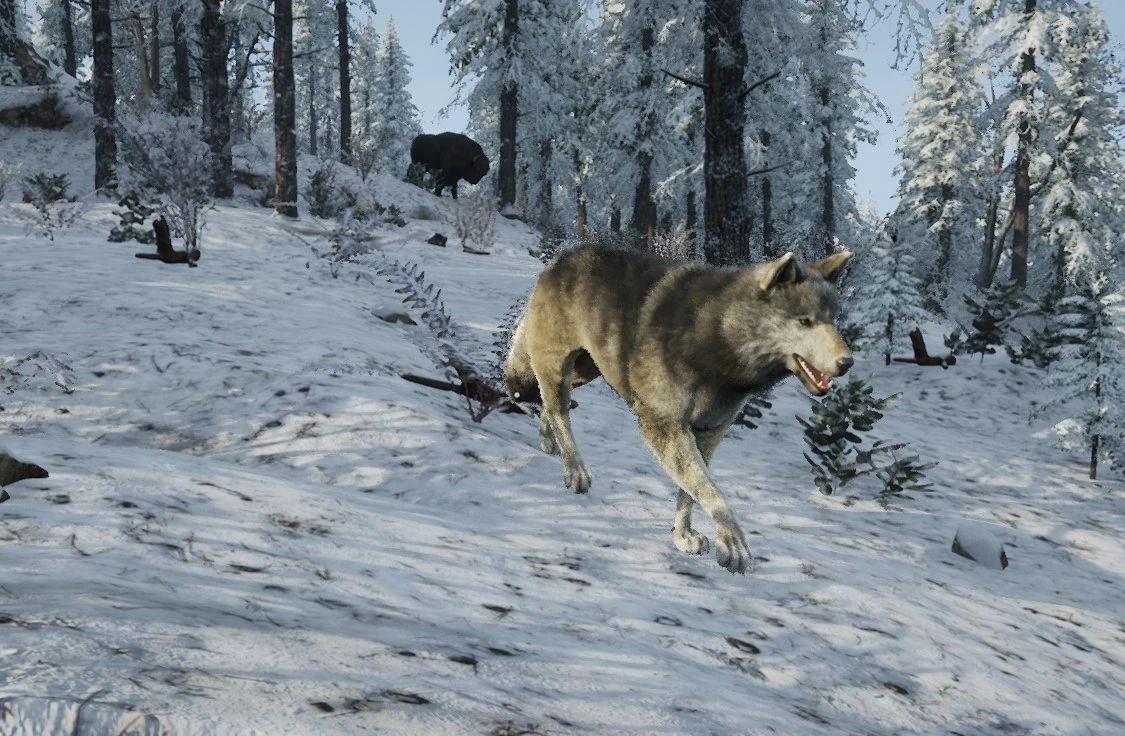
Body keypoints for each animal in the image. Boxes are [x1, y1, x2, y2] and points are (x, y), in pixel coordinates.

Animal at [505, 244, 853, 574]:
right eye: (805, 321)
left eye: (833, 320)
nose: (847, 363)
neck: (717, 338)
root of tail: (562, 257)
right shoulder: (664, 426)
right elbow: (711, 490)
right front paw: (733, 544)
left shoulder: (710, 430)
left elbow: (690, 491)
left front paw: (683, 536)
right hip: (561, 366)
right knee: (557, 406)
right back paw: (575, 470)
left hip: (586, 370)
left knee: (551, 402)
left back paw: (549, 442)